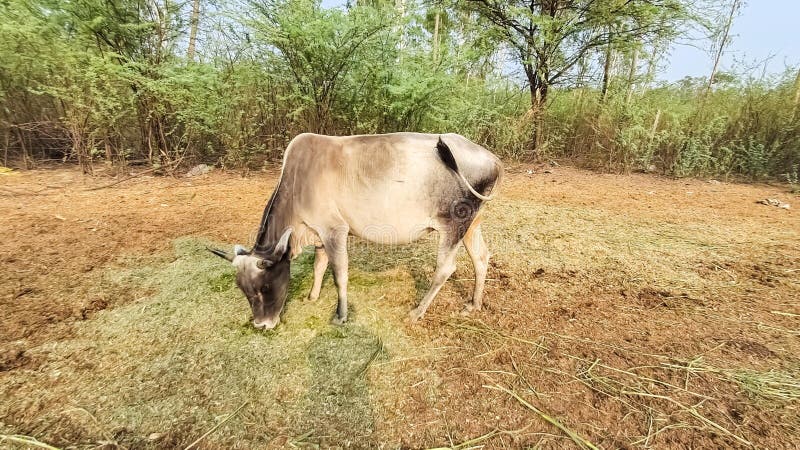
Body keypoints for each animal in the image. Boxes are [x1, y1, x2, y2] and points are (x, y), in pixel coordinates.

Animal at [209, 132, 502, 329]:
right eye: (241, 288)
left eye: (266, 285)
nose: (261, 324)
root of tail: (492, 158)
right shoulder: (319, 234)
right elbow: (319, 266)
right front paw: (312, 296)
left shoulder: (335, 230)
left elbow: (340, 275)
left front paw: (340, 315)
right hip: (471, 224)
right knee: (481, 258)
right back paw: (474, 304)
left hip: (453, 224)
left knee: (445, 269)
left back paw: (417, 312)